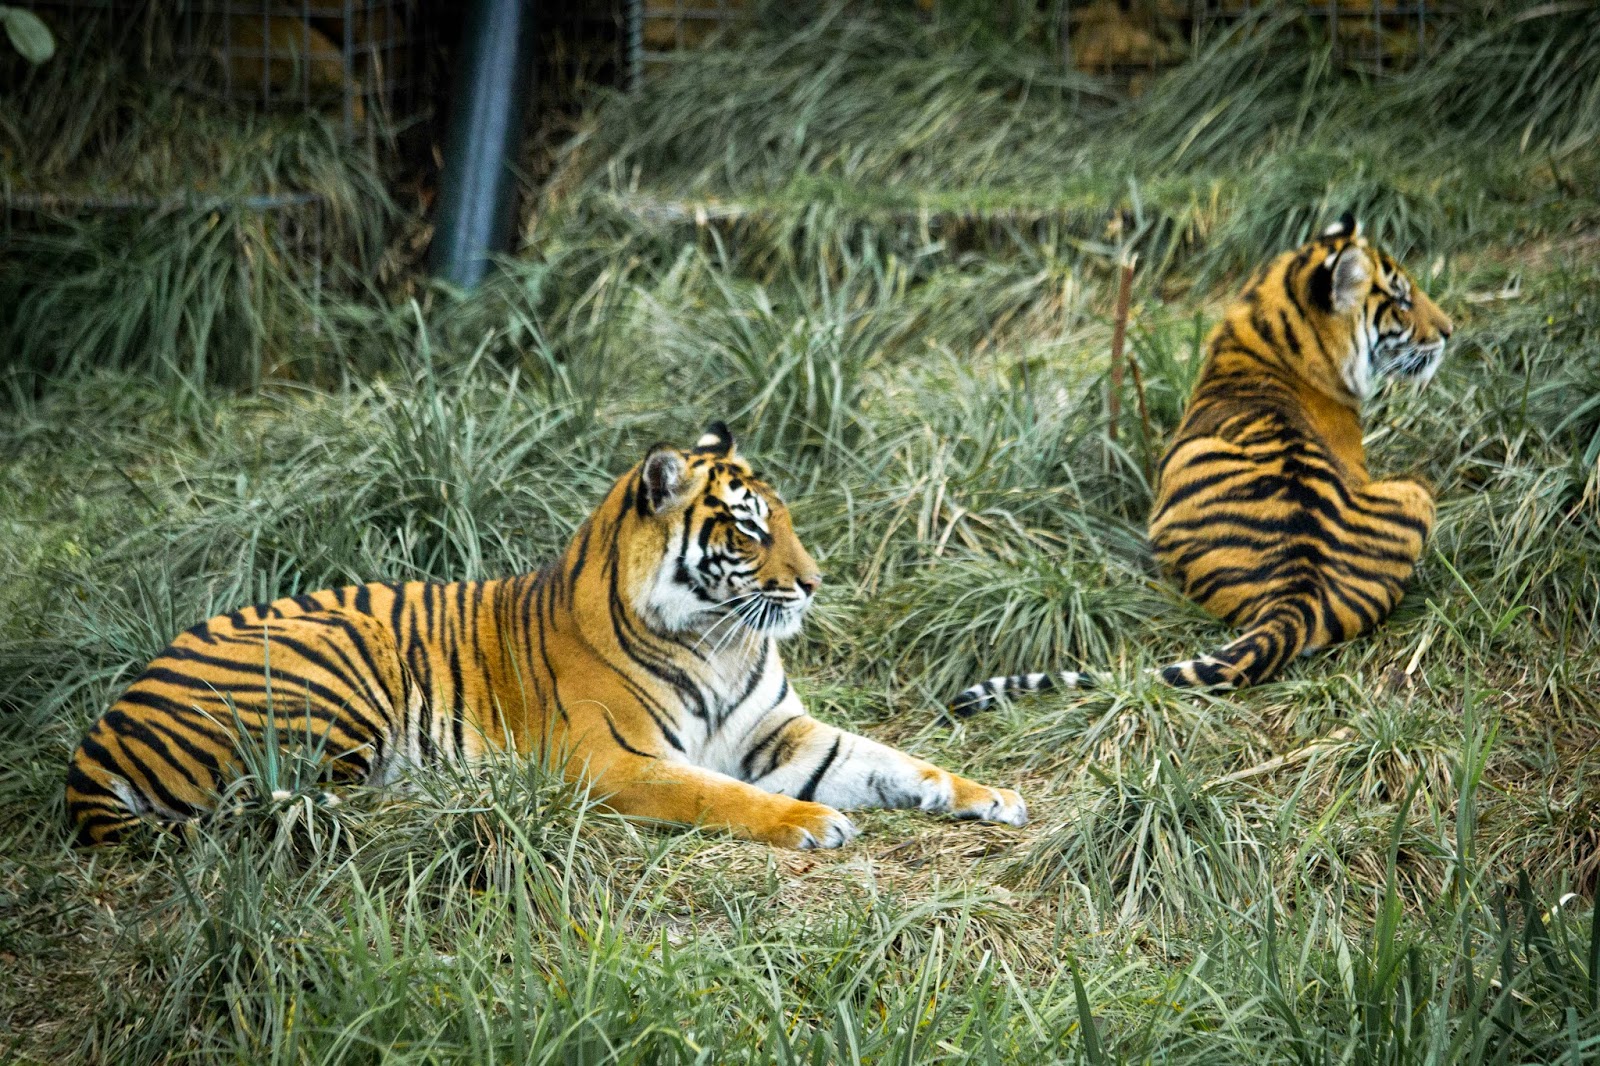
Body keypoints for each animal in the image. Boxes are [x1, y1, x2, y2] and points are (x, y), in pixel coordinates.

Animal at [67, 423, 1028, 848]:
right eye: (751, 529)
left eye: (782, 518)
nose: (816, 582)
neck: (720, 638)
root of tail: (99, 732)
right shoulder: (613, 758)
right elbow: (715, 794)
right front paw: (812, 821)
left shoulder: (779, 733)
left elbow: (891, 759)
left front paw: (986, 795)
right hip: (334, 675)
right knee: (302, 802)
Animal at [950, 213, 1454, 715]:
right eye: (1402, 299)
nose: (1449, 331)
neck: (1271, 325)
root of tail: (1299, 593)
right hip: (1414, 489)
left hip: (1411, 488)